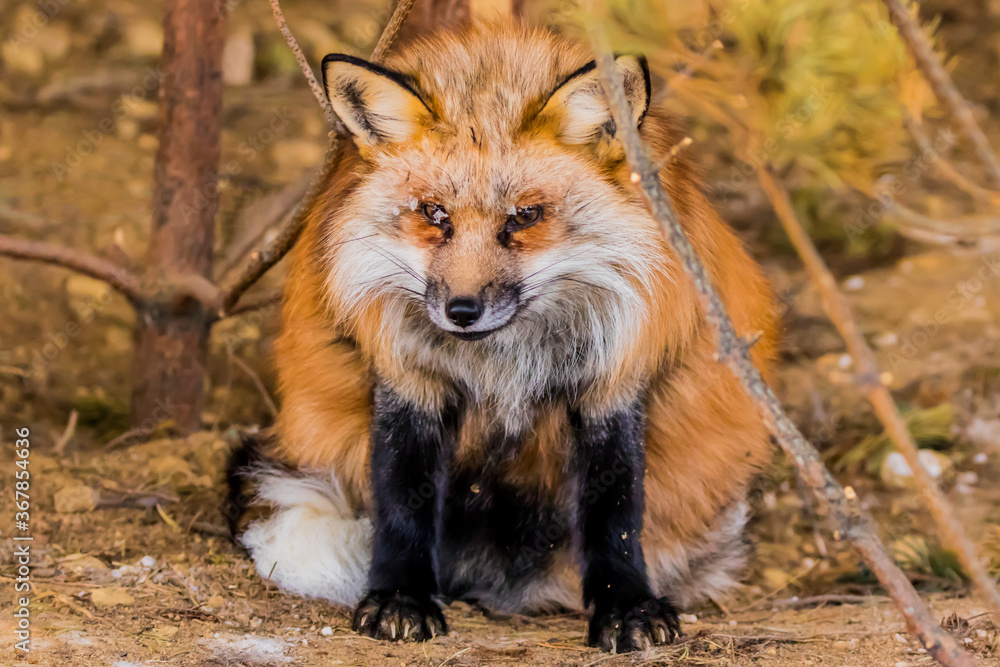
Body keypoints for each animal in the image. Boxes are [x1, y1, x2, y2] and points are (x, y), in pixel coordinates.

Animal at [228, 22, 778, 653]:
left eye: (525, 216)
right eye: (433, 213)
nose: (461, 310)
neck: (504, 364)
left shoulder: (610, 383)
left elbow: (615, 515)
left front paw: (626, 606)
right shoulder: (408, 381)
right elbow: (402, 501)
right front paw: (400, 597)